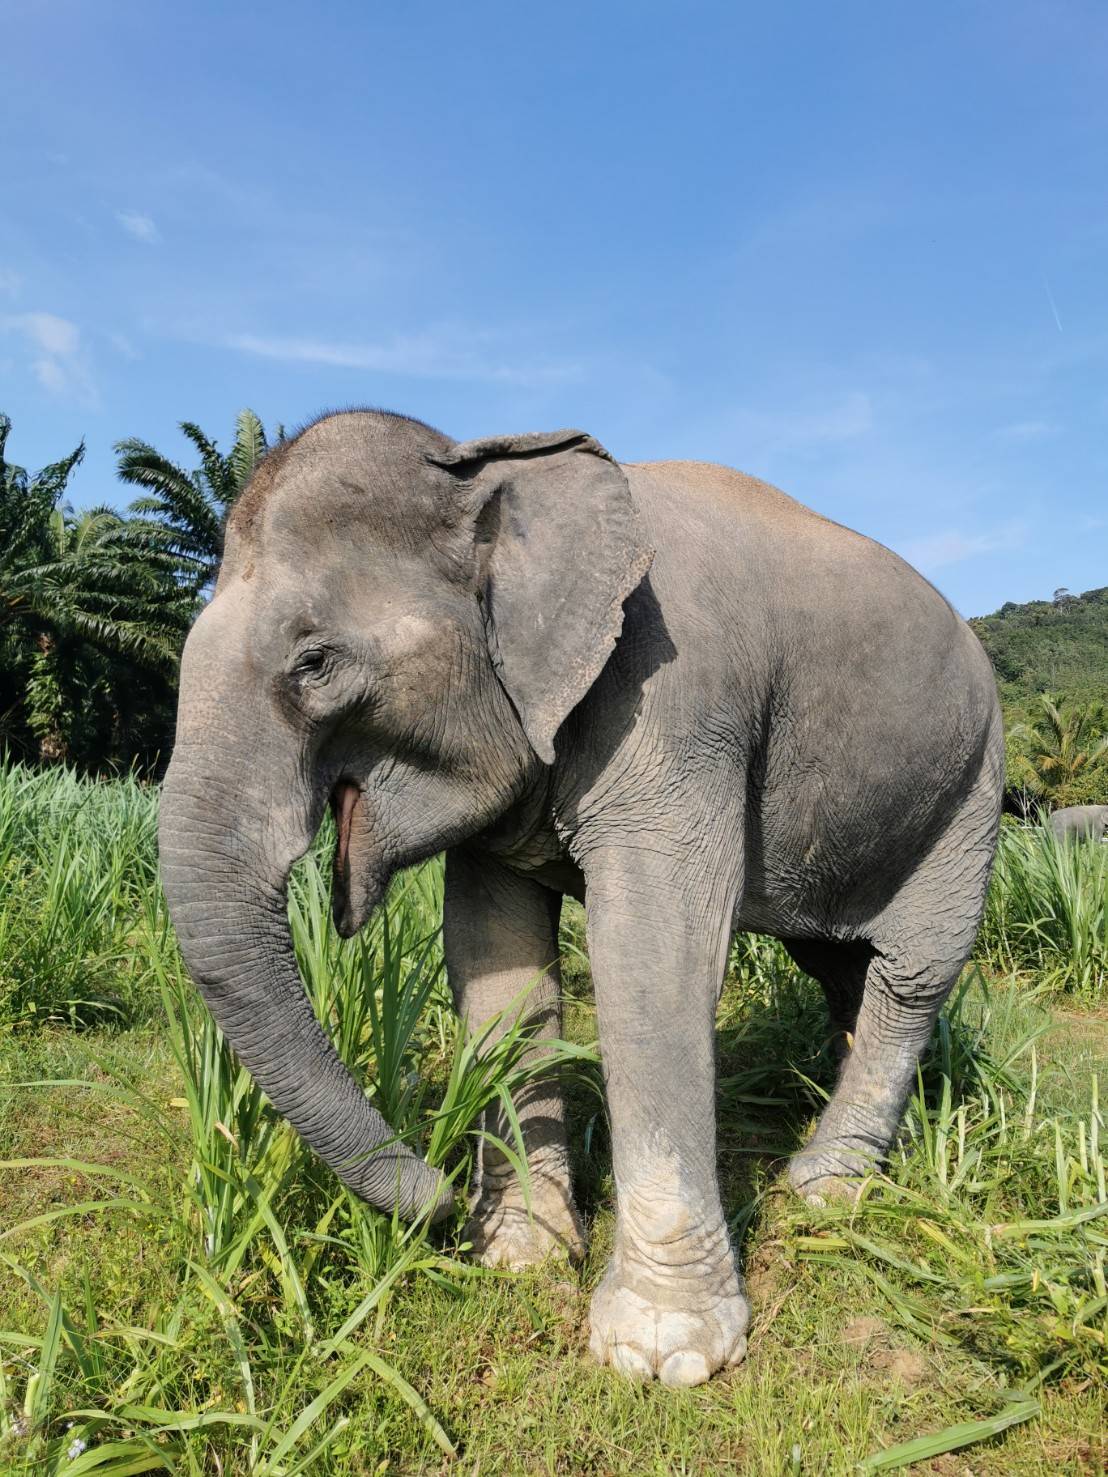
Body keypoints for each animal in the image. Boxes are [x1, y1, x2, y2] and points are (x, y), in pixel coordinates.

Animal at [159, 410, 1004, 1388]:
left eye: (315, 662)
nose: (439, 1197)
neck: (490, 465)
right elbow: (497, 965)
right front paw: (520, 1255)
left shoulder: (676, 702)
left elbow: (650, 952)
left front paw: (662, 1351)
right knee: (843, 968)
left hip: (971, 790)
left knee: (911, 976)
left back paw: (824, 1188)